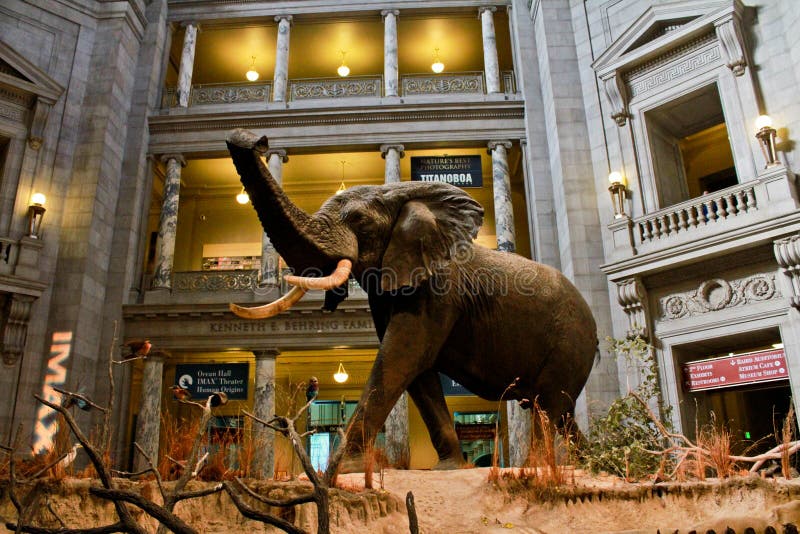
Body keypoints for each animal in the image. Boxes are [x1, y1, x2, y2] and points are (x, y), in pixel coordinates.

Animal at [226, 129, 598, 470]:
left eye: (359, 221)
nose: (258, 139)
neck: (402, 197)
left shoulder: (439, 287)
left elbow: (401, 357)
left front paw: (345, 470)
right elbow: (418, 374)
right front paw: (450, 469)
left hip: (570, 341)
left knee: (548, 407)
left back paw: (539, 469)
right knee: (559, 412)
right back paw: (588, 464)